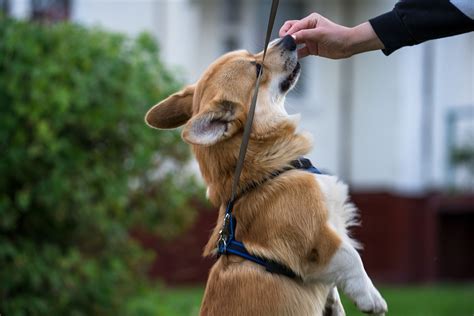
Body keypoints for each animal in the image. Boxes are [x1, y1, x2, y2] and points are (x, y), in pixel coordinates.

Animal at [145, 35, 388, 316]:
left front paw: (335, 306)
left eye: (252, 53)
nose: (289, 38)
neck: (268, 172)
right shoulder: (316, 235)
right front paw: (371, 298)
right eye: (257, 69)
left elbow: (332, 285)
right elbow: (351, 257)